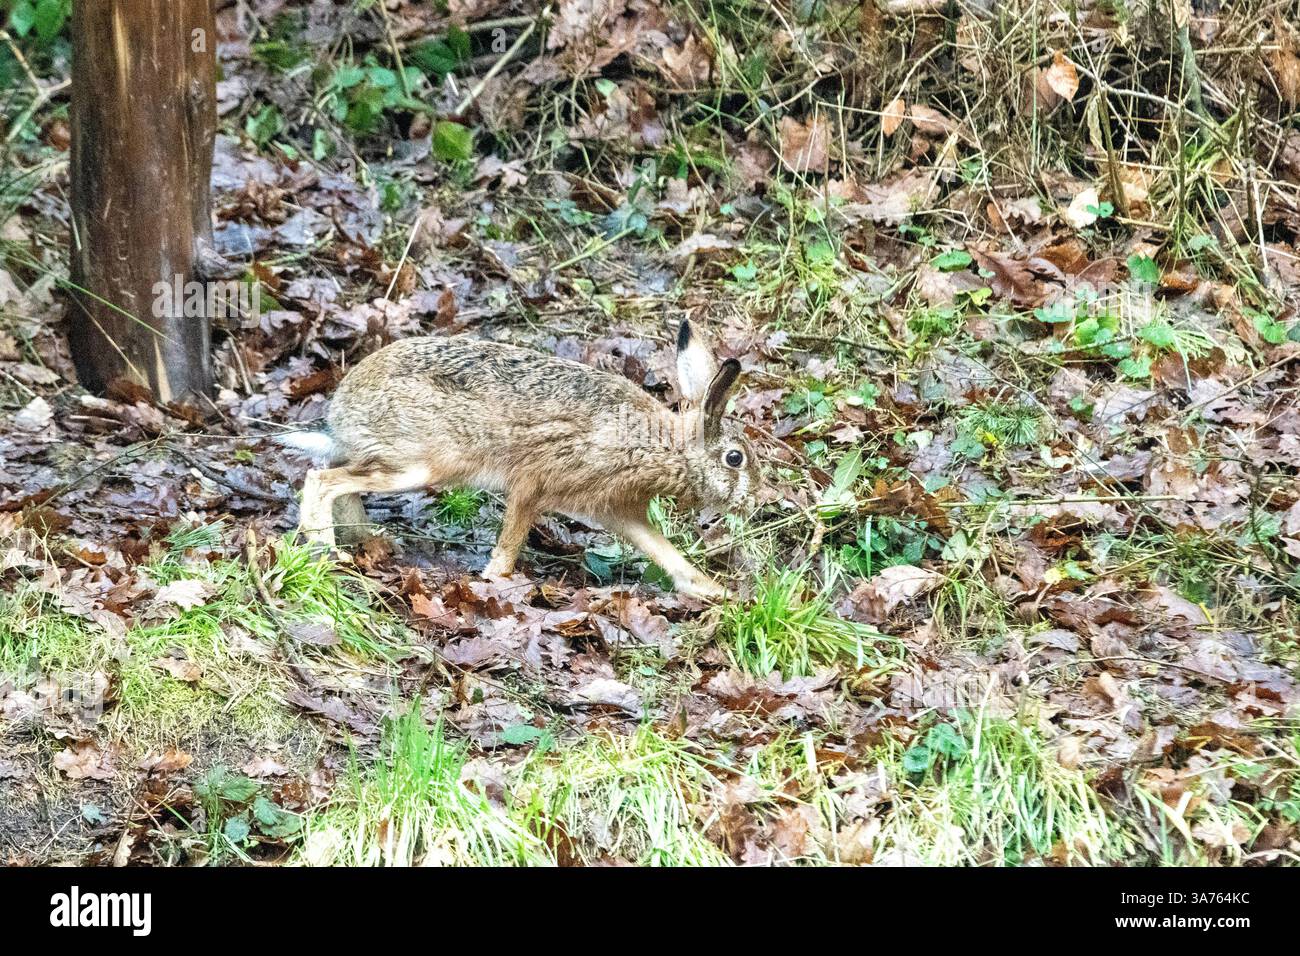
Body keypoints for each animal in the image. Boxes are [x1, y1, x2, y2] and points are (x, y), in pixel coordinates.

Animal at [278, 319, 761, 600]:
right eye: (735, 459)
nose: (758, 501)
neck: (663, 446)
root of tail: (342, 412)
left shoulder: (619, 510)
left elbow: (665, 552)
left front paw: (715, 592)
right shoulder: (535, 483)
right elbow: (511, 541)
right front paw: (494, 579)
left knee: (339, 481)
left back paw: (368, 541)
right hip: (420, 462)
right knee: (322, 480)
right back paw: (324, 550)